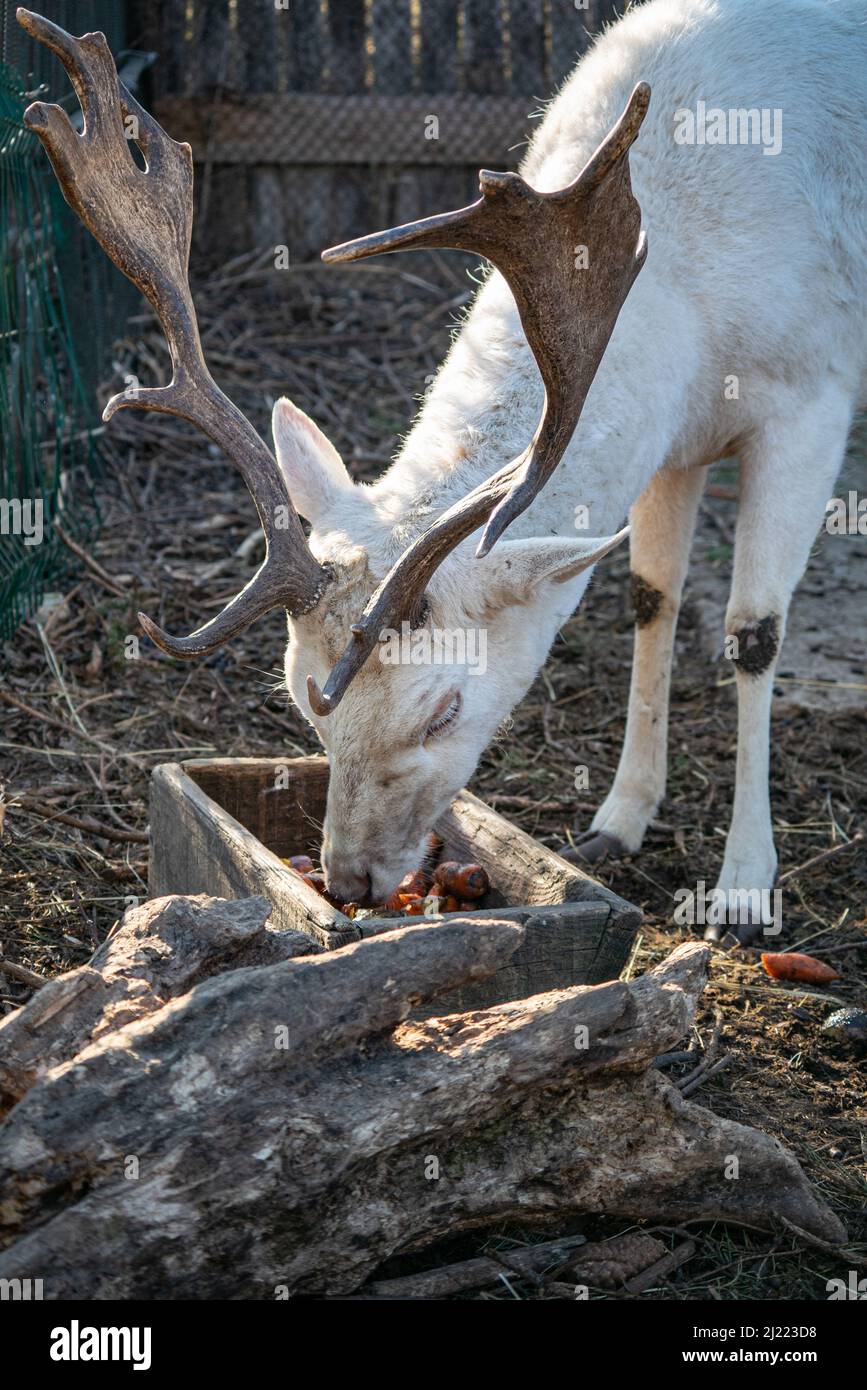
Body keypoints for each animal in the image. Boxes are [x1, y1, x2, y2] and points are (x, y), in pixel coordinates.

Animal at [19, 0, 867, 940]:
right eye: (302, 697)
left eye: (445, 709)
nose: (349, 878)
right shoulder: (669, 444)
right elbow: (652, 600)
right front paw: (615, 823)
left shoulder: (811, 393)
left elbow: (753, 632)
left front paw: (745, 889)